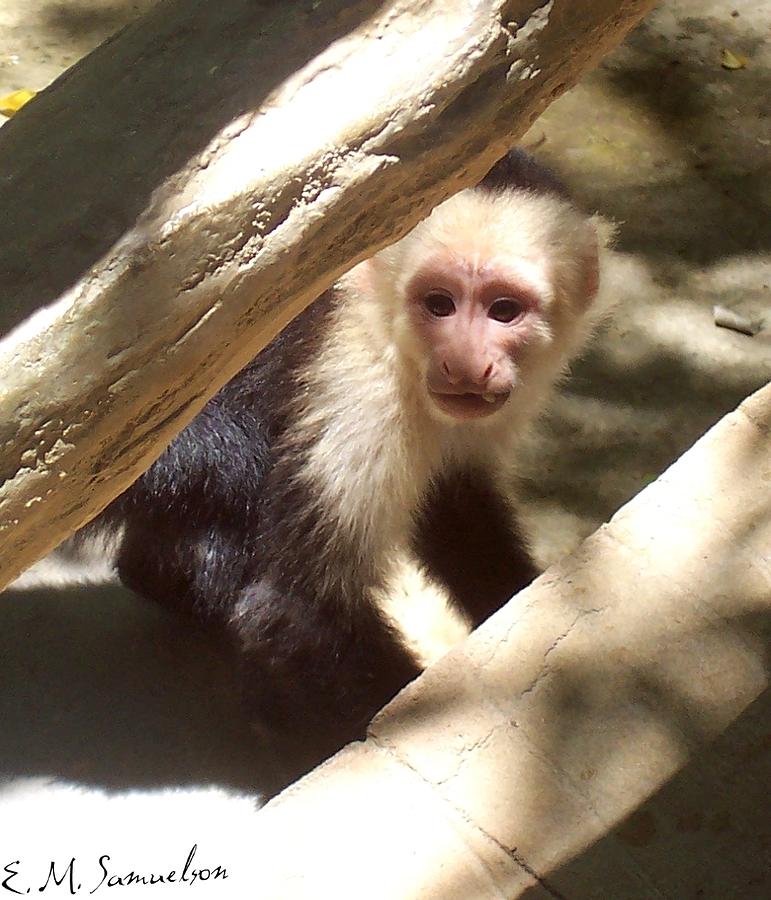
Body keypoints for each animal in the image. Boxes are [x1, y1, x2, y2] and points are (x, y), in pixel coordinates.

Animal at [63, 149, 602, 768]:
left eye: (504, 310)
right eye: (438, 303)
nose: (464, 363)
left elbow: (457, 504)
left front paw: (518, 603)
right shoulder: (356, 382)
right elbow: (291, 614)